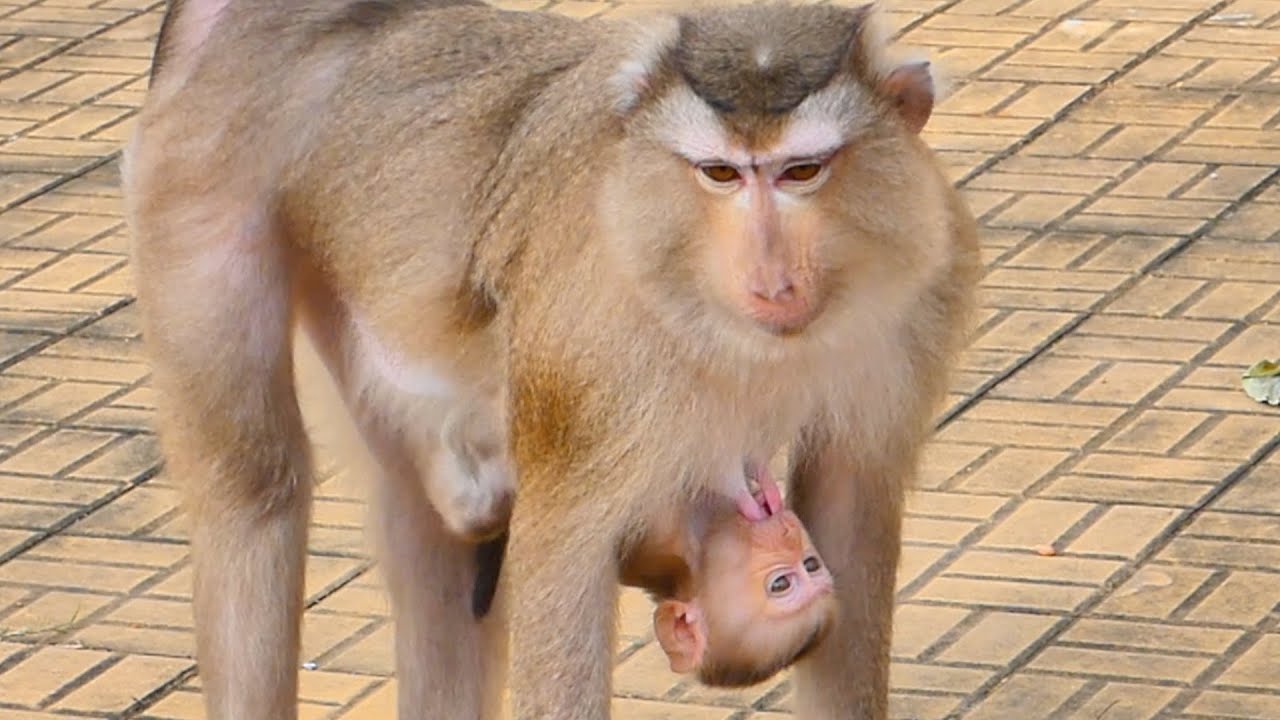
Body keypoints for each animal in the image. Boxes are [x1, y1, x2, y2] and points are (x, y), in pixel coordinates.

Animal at [124, 1, 981, 719]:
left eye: (803, 171)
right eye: (722, 173)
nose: (772, 279)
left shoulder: (916, 302)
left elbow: (848, 505)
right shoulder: (591, 356)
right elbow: (559, 556)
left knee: (432, 542)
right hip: (197, 176)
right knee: (254, 487)